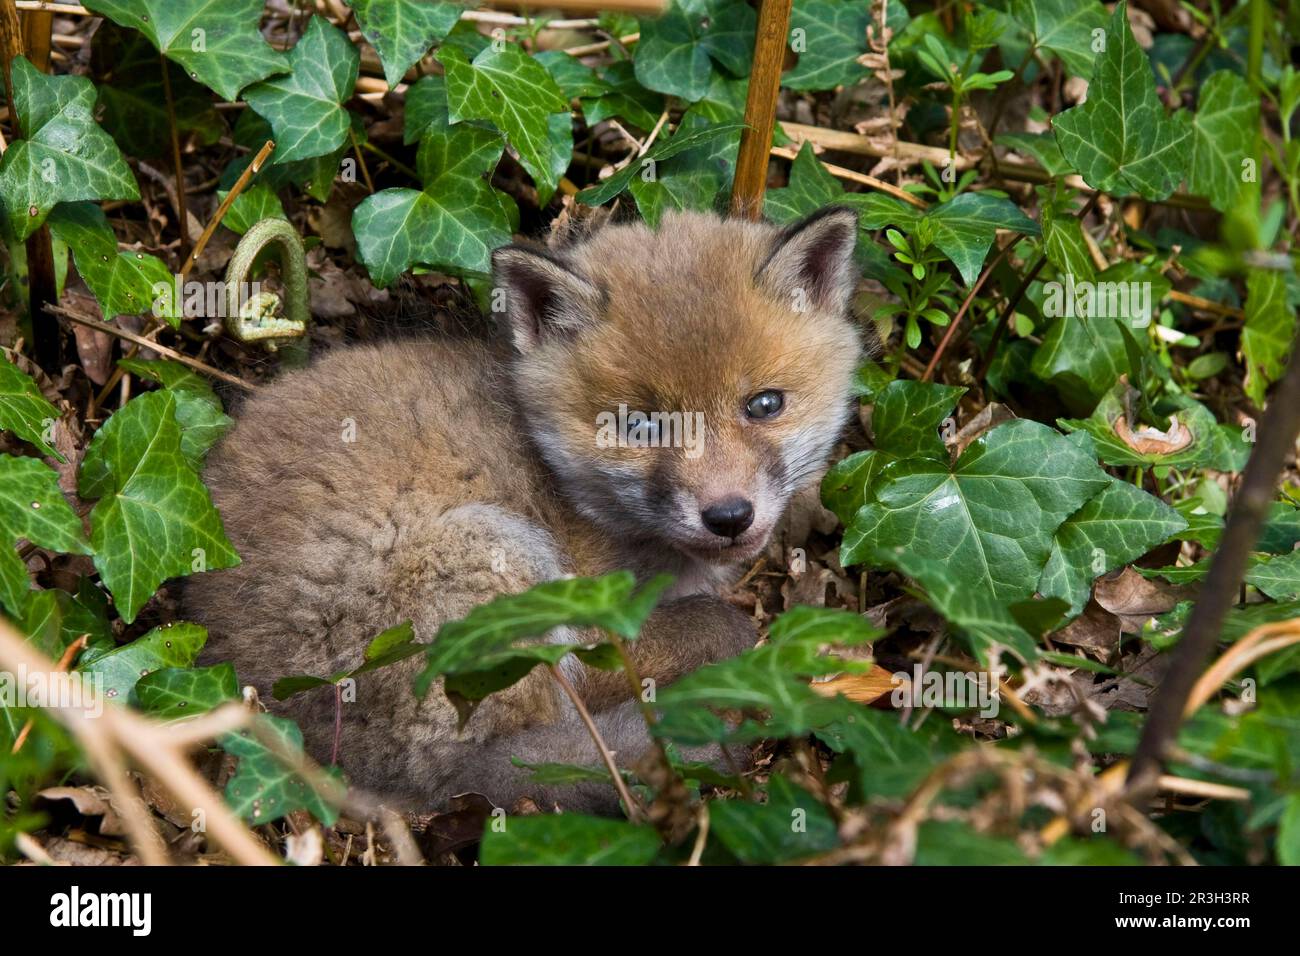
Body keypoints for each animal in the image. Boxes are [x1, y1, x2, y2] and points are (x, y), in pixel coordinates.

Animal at [186, 207, 864, 815]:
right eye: (640, 426)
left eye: (764, 404)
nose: (728, 516)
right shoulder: (598, 624)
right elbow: (718, 625)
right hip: (493, 564)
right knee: (500, 761)